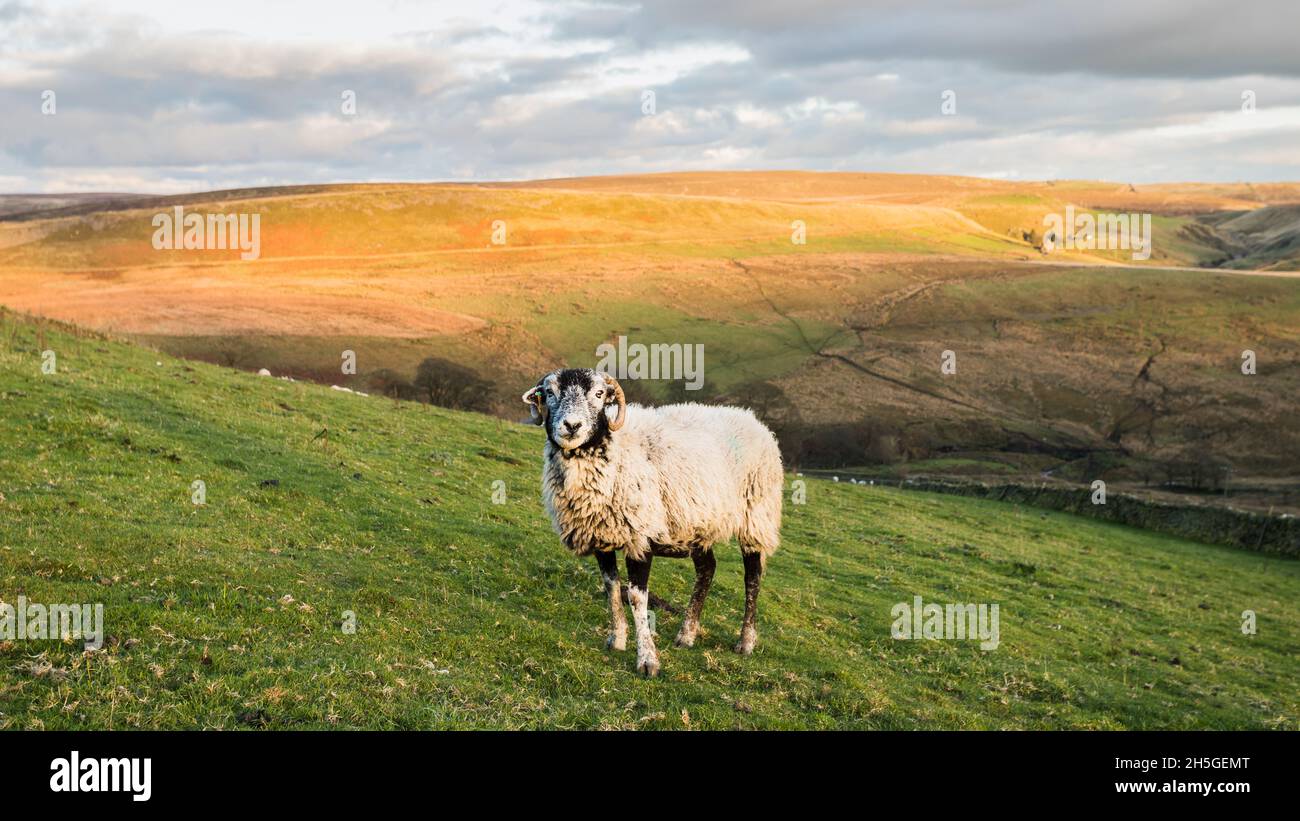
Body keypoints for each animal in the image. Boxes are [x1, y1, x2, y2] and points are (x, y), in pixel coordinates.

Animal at [523, 367, 782, 677]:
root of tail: (752, 419)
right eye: (550, 392)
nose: (572, 426)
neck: (613, 450)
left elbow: (636, 597)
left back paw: (745, 642)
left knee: (752, 577)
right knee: (707, 570)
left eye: (599, 394)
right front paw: (617, 639)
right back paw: (686, 635)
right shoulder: (602, 537)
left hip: (756, 518)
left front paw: (647, 660)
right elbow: (611, 588)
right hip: (697, 525)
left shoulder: (639, 536)